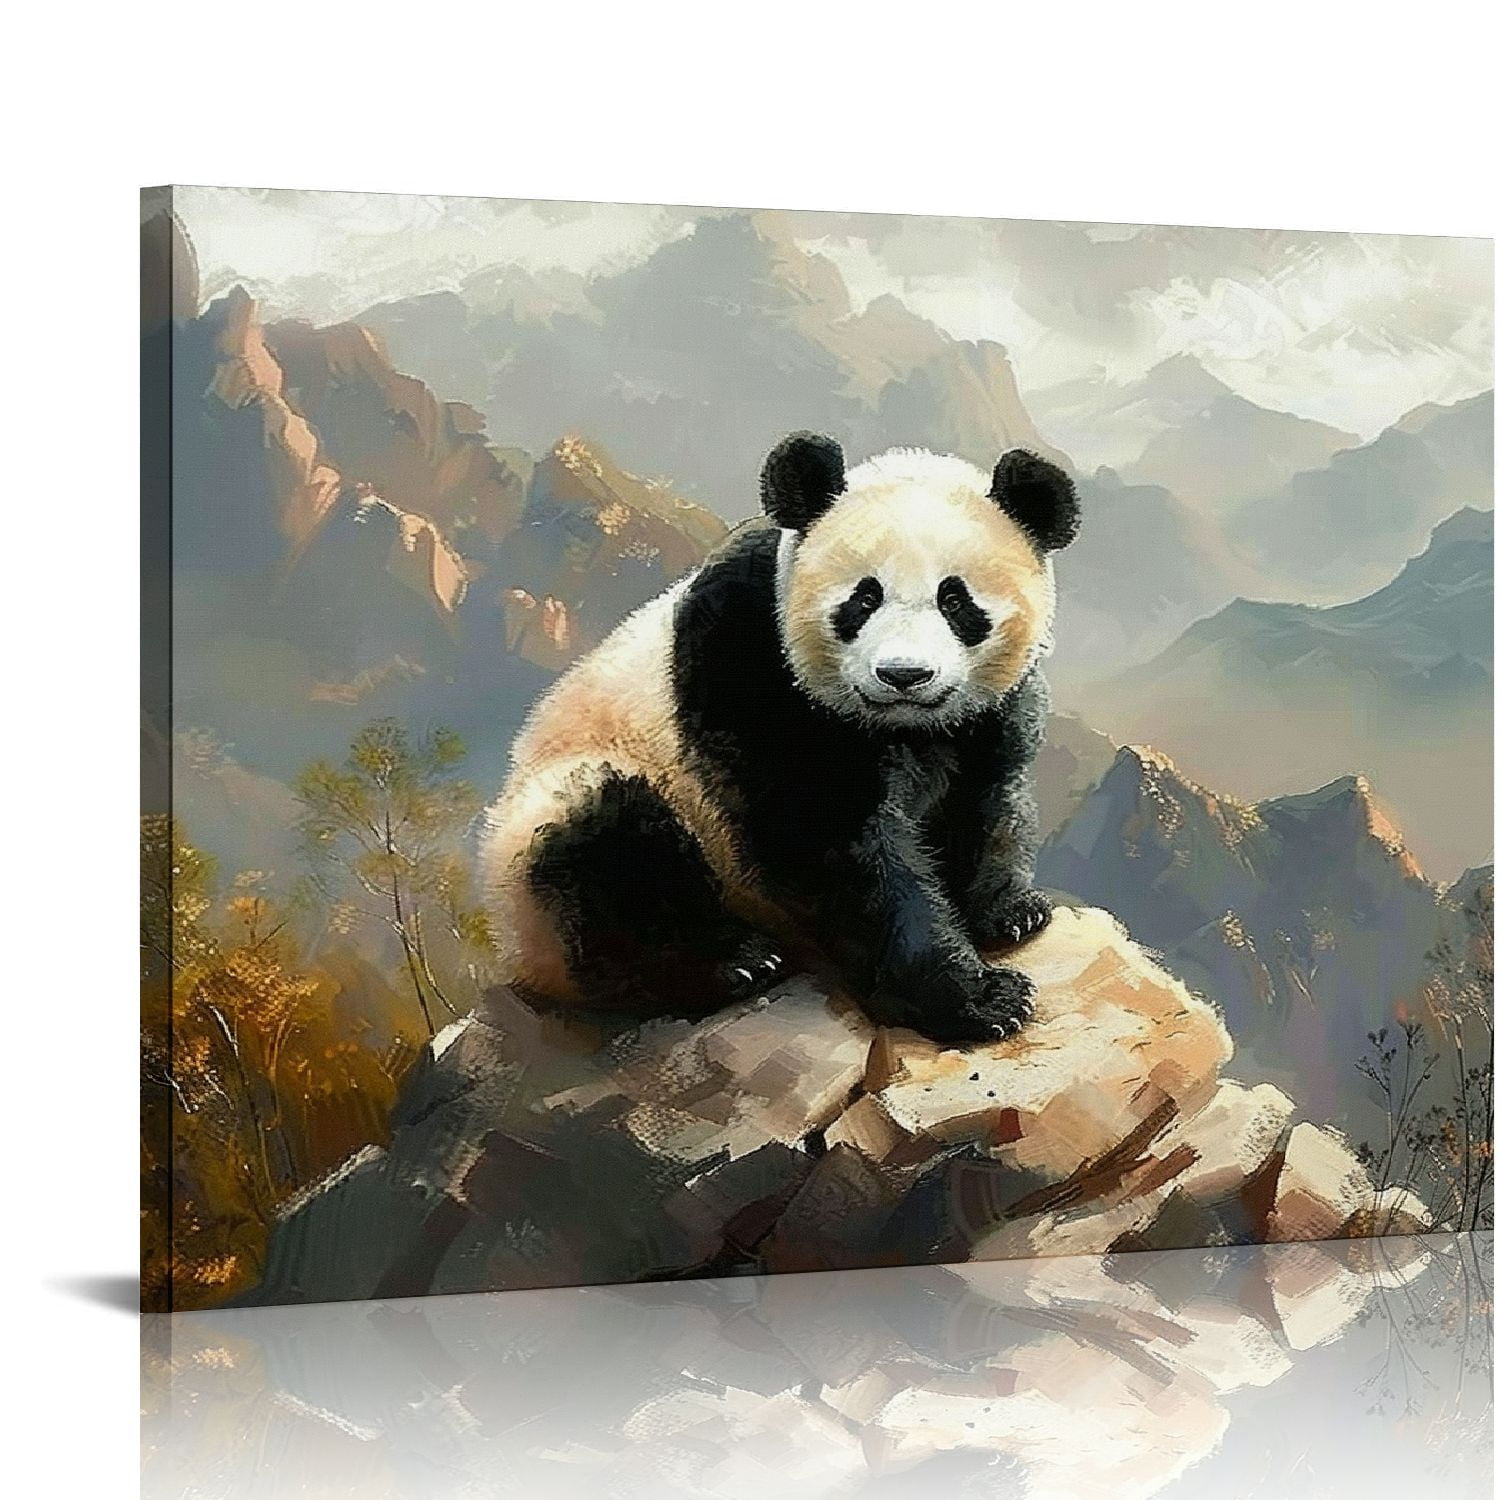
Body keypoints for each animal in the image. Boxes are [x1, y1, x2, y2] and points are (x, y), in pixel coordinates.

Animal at [478, 433, 1080, 1045]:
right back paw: (731, 962)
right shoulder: (752, 659)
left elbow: (986, 795)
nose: (903, 675)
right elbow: (839, 844)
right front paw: (982, 1000)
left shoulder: (988, 714)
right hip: (564, 828)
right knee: (607, 843)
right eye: (864, 599)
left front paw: (1009, 911)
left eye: (955, 601)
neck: (904, 725)